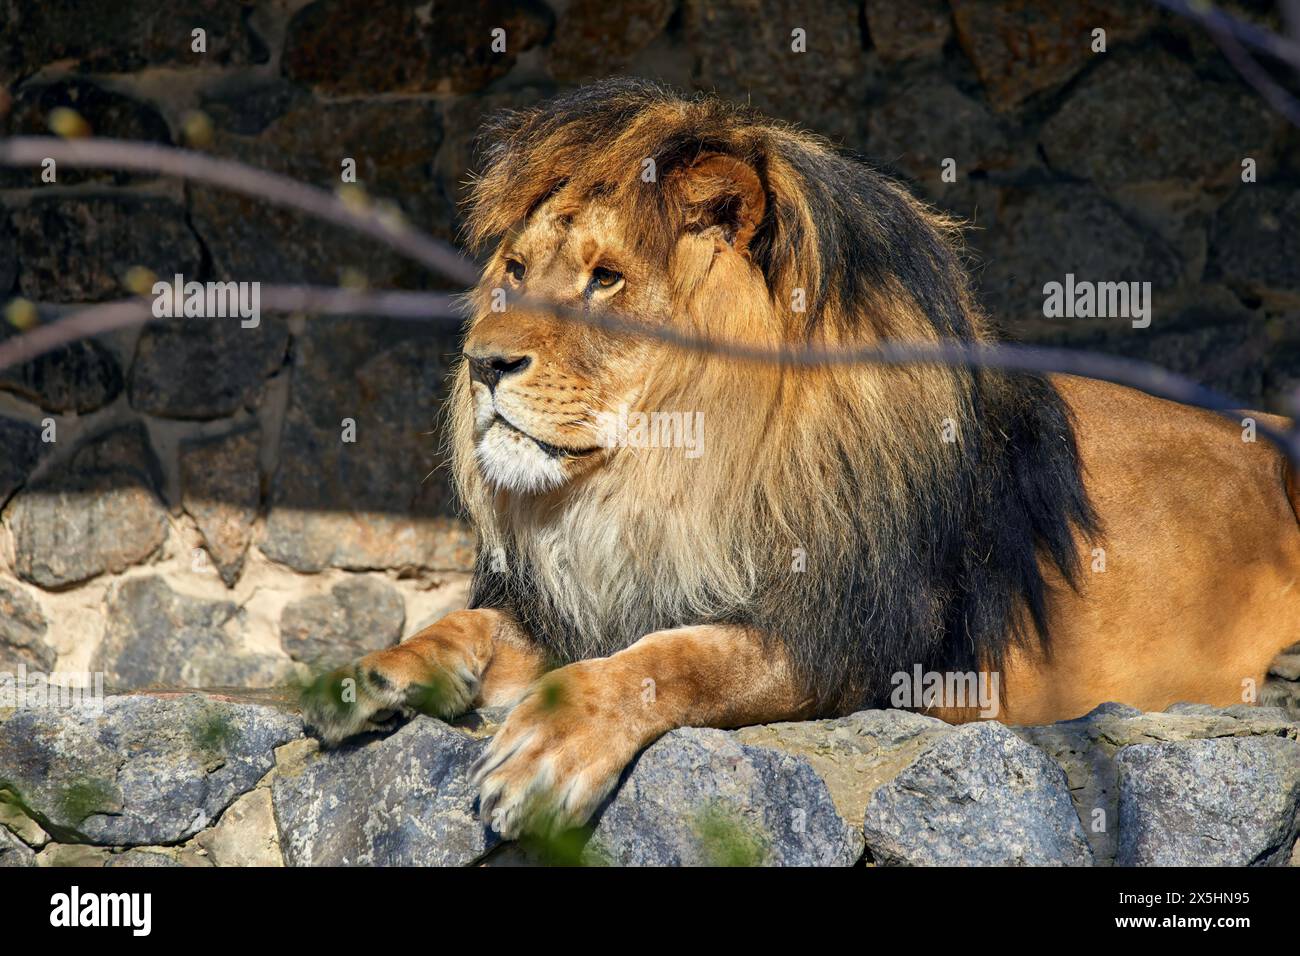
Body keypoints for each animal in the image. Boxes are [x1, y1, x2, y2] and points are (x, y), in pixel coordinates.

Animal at [303, 79, 1300, 839]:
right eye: (514, 271)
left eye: (606, 280)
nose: (482, 363)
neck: (665, 477)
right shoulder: (599, 594)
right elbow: (475, 624)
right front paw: (375, 672)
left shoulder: (853, 648)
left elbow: (678, 657)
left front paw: (550, 747)